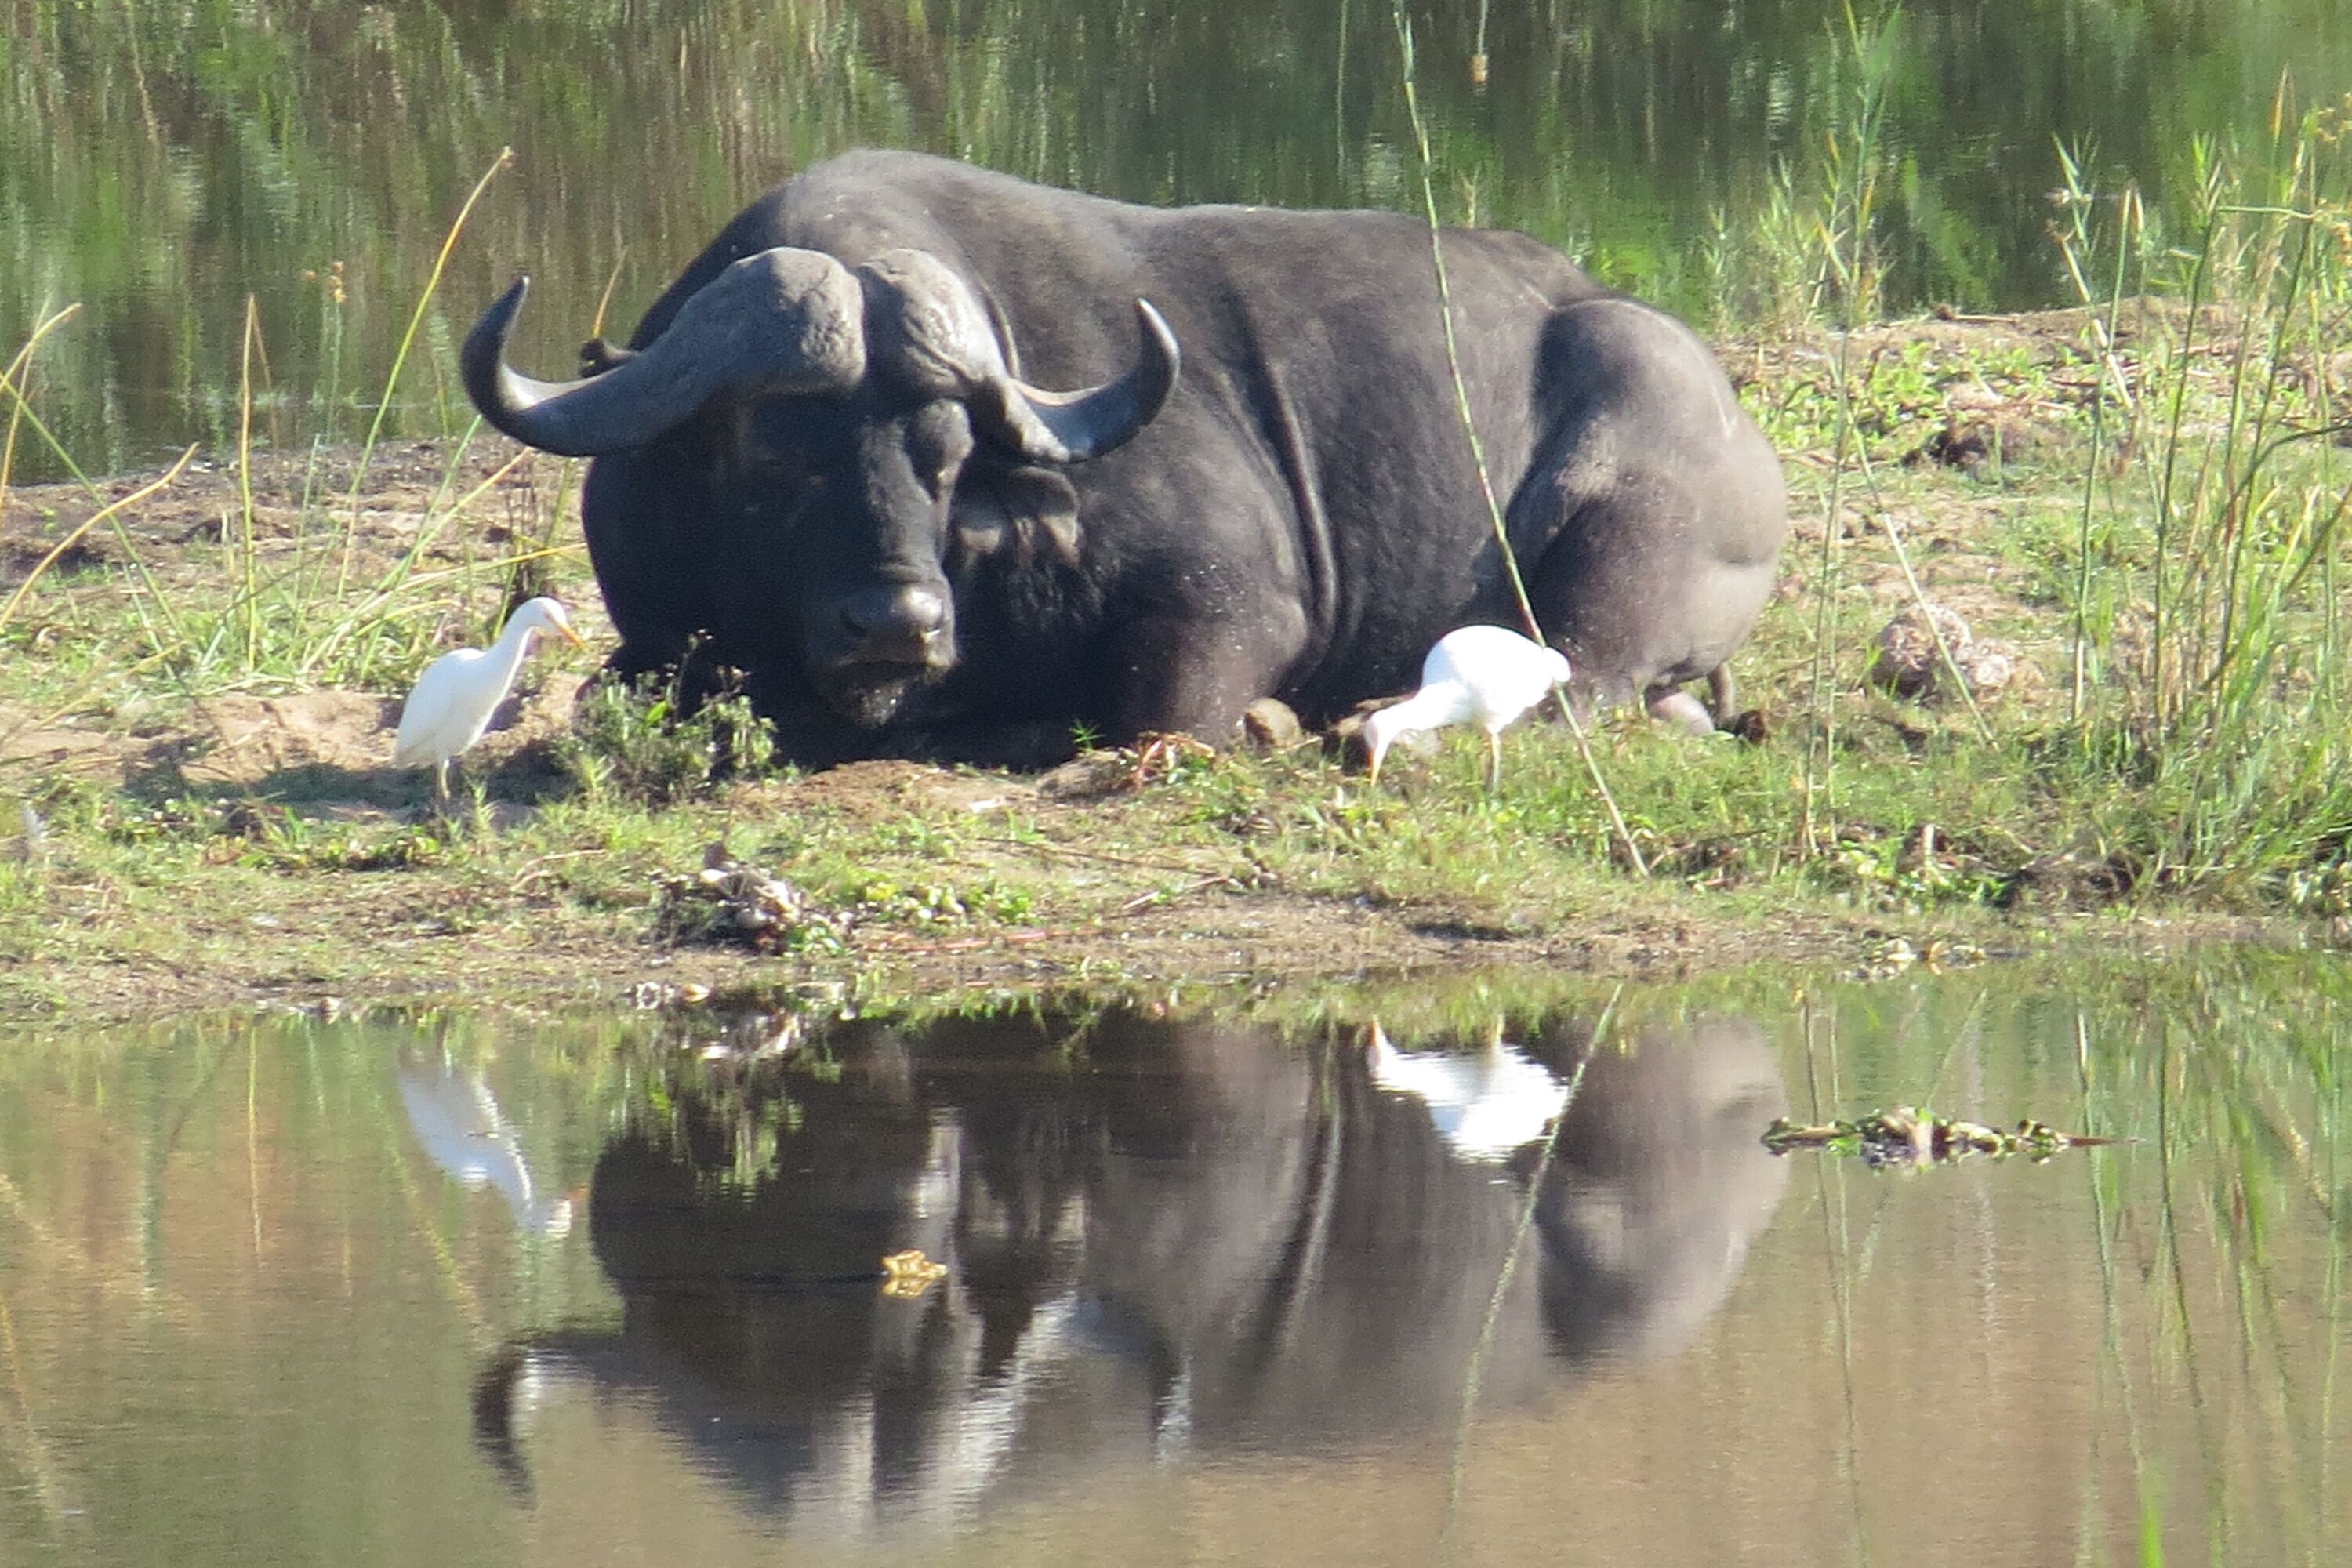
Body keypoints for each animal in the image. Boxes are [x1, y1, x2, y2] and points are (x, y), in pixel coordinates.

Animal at [463, 150, 1787, 765]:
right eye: (777, 458)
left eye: (945, 457)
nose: (897, 623)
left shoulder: (1235, 602)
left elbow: (1168, 704)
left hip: (1620, 551)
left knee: (1584, 682)